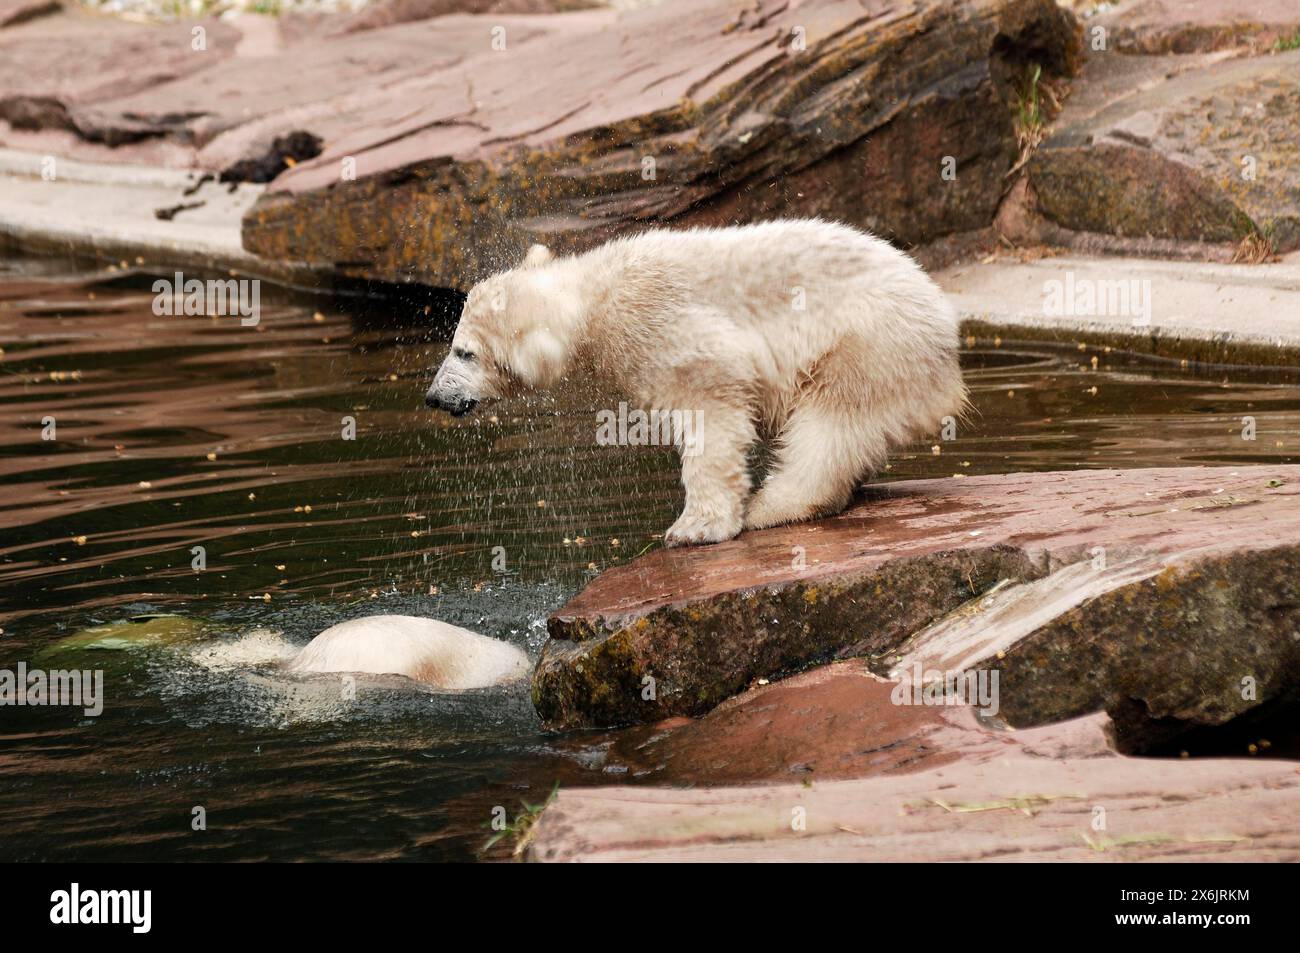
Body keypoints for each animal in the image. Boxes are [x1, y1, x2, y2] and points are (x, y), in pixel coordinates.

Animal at [425, 219, 968, 546]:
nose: (434, 396)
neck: (596, 292)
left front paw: (693, 528)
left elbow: (712, 407)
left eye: (464, 352)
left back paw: (774, 505)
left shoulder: (661, 325)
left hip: (867, 342)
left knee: (832, 422)